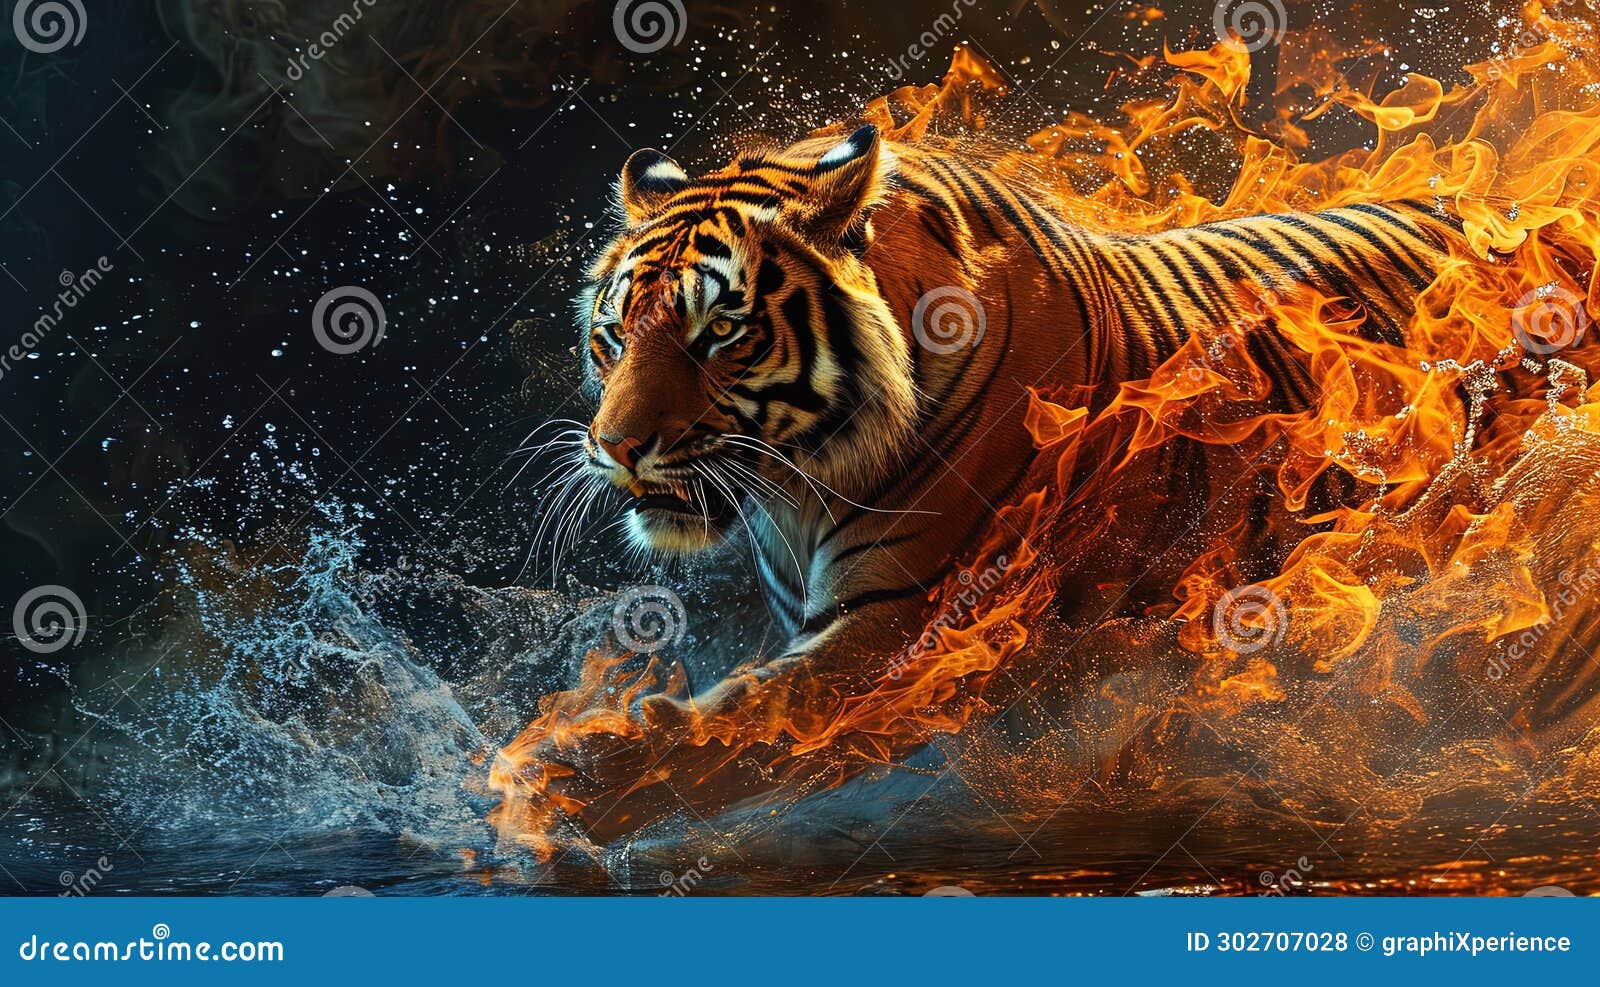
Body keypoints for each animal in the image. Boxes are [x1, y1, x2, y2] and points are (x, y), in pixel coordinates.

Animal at [531, 122, 1459, 842]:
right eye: (614, 335)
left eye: (720, 332)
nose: (615, 446)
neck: (795, 490)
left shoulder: (897, 624)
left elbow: (743, 722)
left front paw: (575, 783)